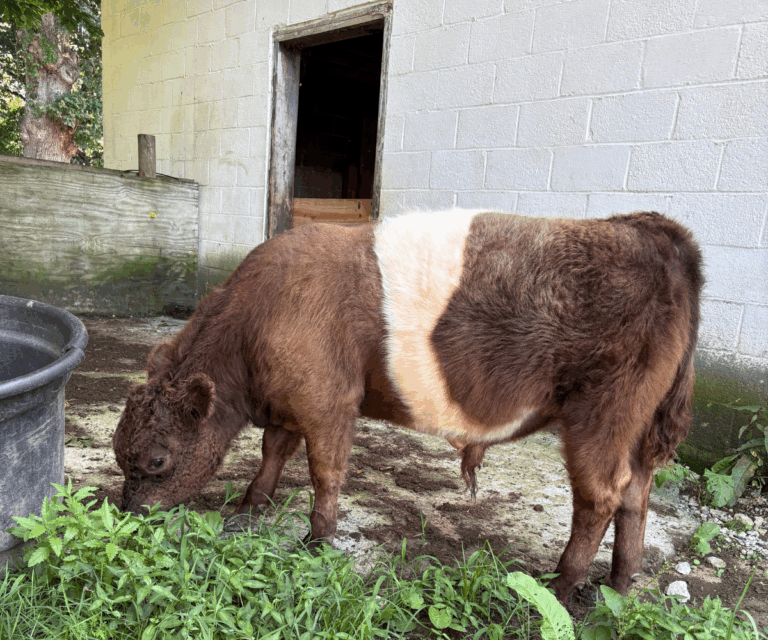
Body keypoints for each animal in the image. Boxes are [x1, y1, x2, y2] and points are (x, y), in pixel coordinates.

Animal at [113, 210, 702, 601]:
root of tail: (653, 230)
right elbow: (273, 450)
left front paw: (317, 539)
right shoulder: (290, 402)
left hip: (602, 416)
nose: (129, 514)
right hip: (636, 430)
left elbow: (325, 471)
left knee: (601, 495)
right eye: (120, 454)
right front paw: (251, 503)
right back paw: (620, 581)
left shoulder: (327, 402)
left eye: (157, 460)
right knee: (635, 493)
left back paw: (561, 584)